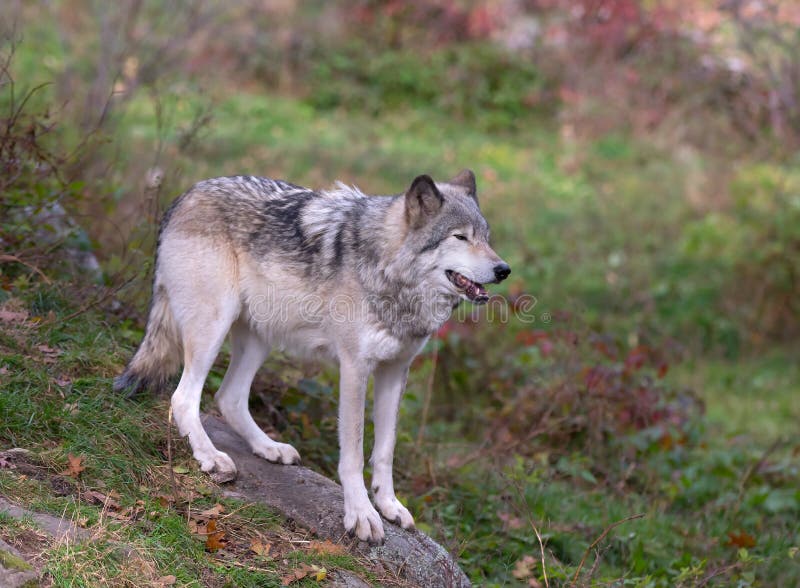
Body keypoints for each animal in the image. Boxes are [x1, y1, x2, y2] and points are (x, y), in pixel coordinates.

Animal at [115, 170, 509, 543]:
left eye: (487, 237)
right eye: (460, 237)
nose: (503, 270)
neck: (385, 269)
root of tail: (184, 196)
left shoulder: (395, 371)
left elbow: (385, 450)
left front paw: (389, 505)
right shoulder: (354, 369)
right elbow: (353, 454)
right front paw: (362, 515)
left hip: (260, 339)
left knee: (229, 397)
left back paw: (268, 447)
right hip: (214, 326)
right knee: (184, 398)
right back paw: (211, 457)